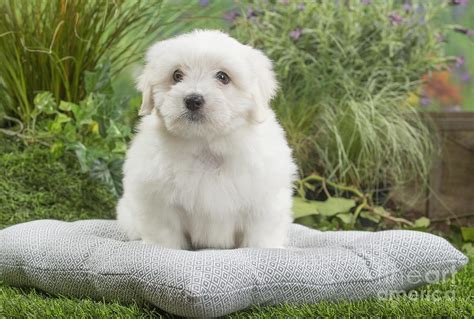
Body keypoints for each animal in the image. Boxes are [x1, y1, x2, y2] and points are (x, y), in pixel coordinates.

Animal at [116, 30, 296, 250]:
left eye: (223, 77)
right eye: (177, 75)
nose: (193, 100)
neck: (204, 143)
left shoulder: (264, 200)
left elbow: (261, 235)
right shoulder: (157, 201)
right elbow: (164, 233)